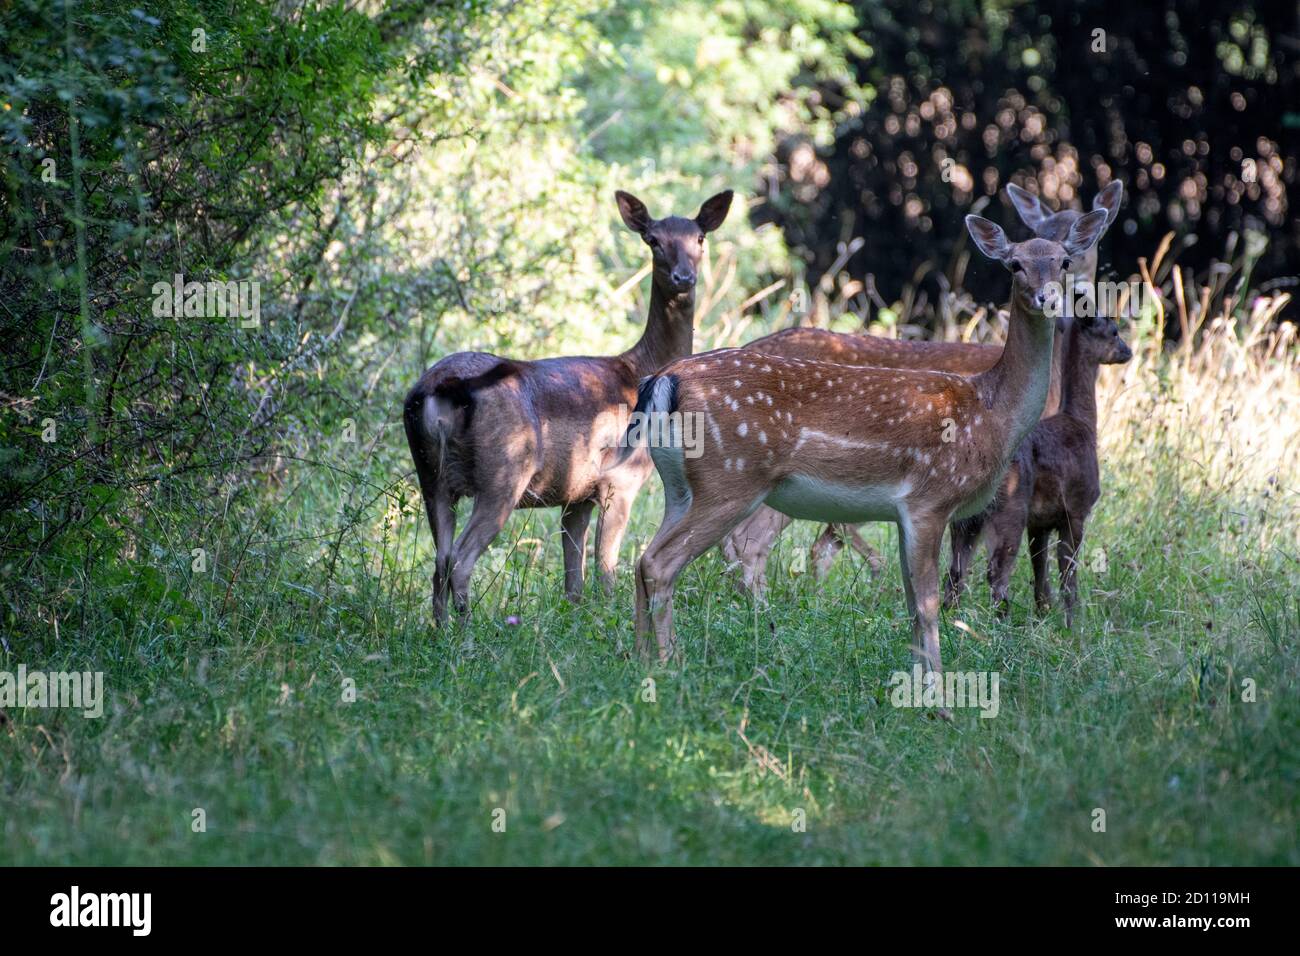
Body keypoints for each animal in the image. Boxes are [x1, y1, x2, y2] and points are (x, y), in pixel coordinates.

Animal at [403, 189, 734, 622]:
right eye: (653, 240)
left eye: (699, 238)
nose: (683, 277)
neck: (638, 370)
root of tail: (443, 387)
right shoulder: (620, 478)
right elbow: (606, 569)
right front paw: (612, 617)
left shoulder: (576, 494)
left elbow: (573, 579)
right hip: (503, 471)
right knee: (459, 559)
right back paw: (467, 630)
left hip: (430, 474)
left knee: (439, 560)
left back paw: (440, 629)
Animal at [944, 311, 1133, 625]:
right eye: (1114, 331)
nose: (1128, 351)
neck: (1083, 425)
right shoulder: (1077, 509)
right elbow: (1068, 571)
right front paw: (1073, 621)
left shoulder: (1040, 521)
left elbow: (1040, 568)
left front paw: (1044, 610)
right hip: (1010, 507)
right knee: (996, 571)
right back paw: (1000, 622)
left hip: (966, 519)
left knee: (955, 569)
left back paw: (951, 618)